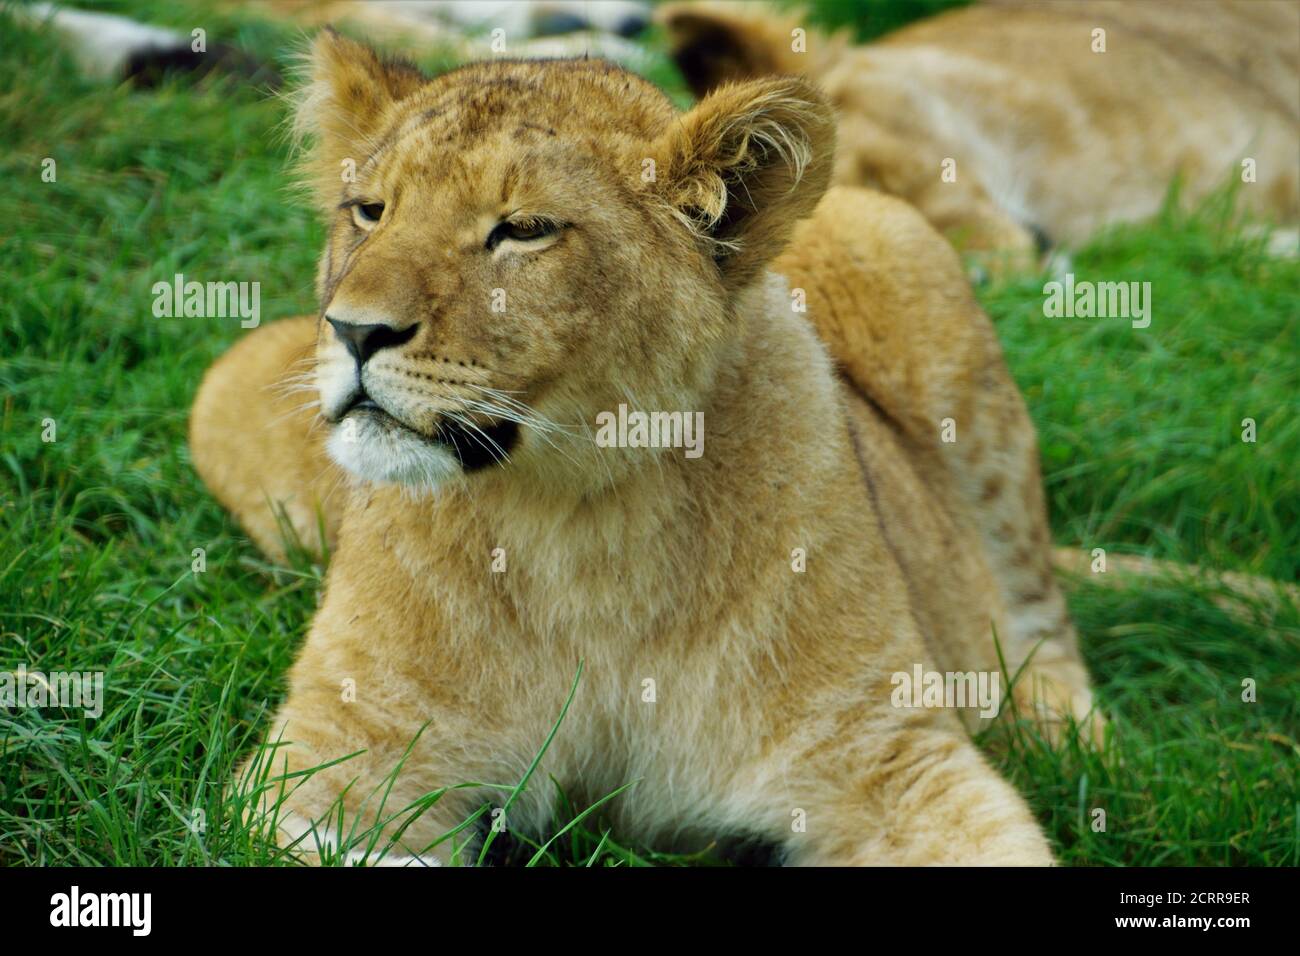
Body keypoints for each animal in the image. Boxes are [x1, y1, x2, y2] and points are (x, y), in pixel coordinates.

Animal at [190, 29, 1102, 865]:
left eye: (523, 230)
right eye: (370, 211)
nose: (352, 331)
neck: (581, 523)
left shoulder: (884, 748)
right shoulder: (335, 758)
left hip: (900, 247)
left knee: (1043, 624)